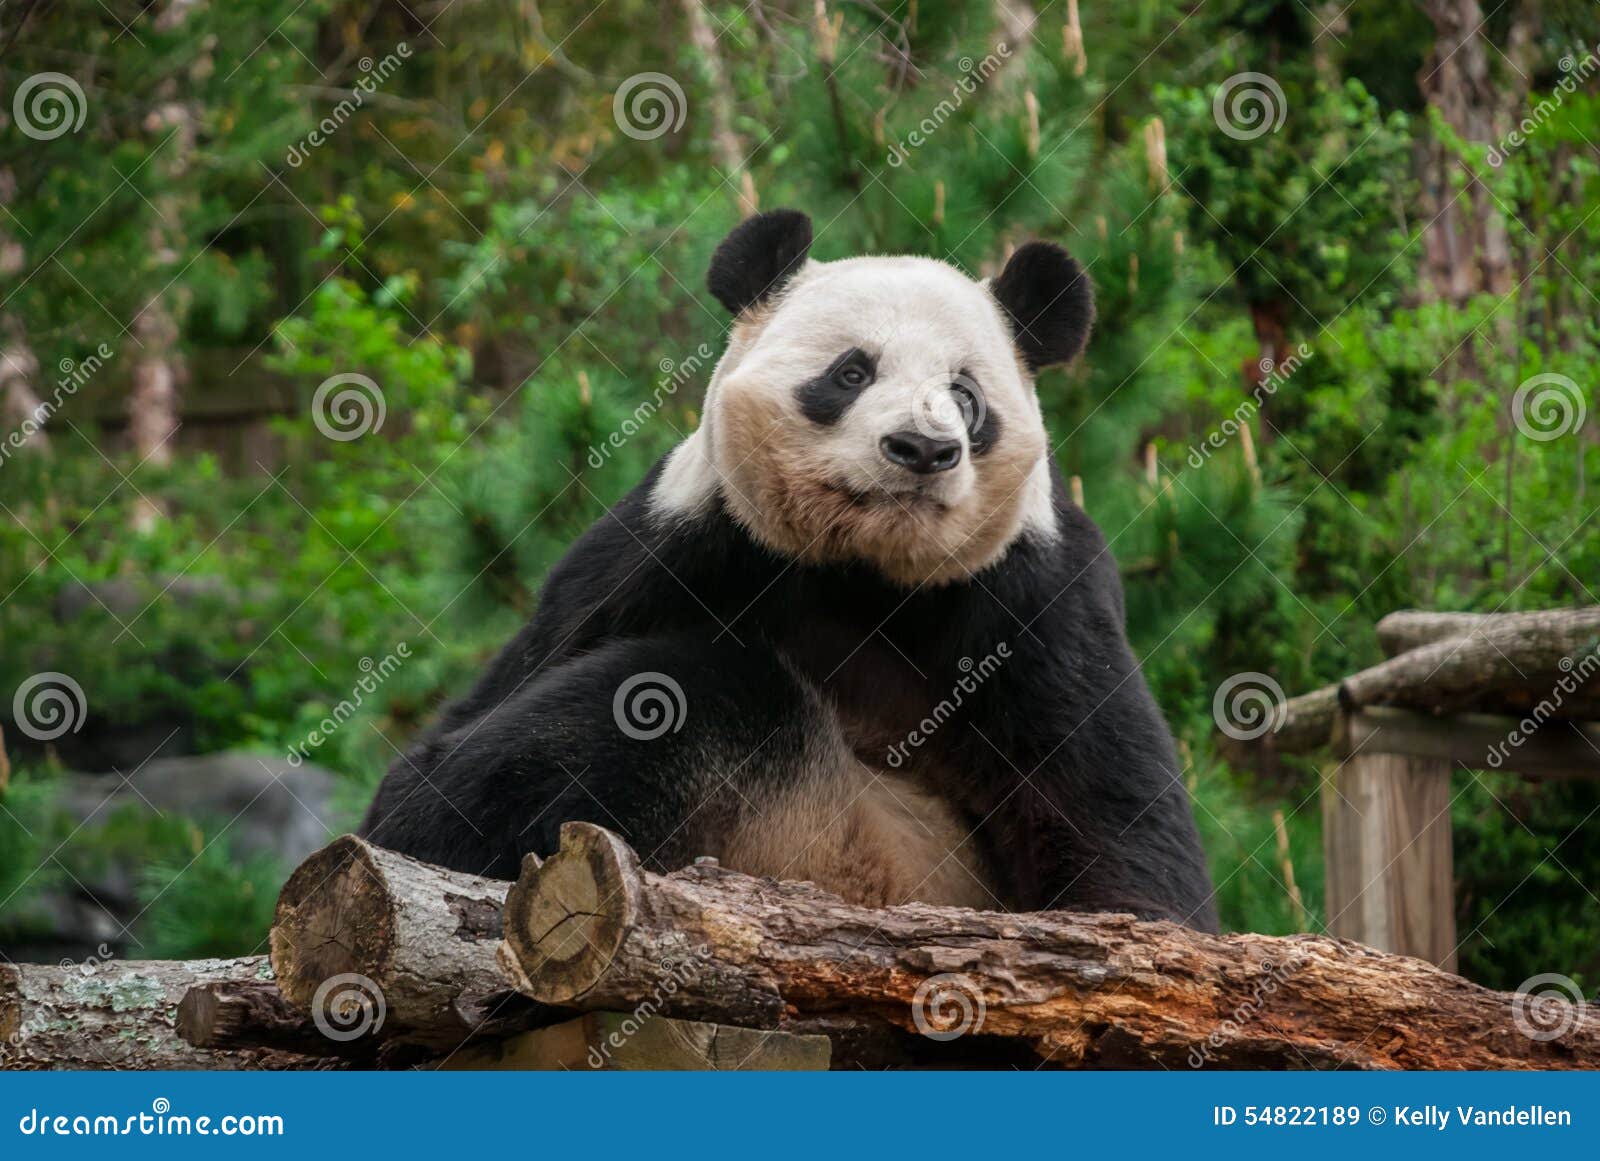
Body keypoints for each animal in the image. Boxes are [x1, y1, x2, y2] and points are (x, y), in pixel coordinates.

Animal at [362, 209, 1217, 930]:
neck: (865, 572)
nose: (922, 448)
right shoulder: (672, 545)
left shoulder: (1034, 596)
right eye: (852, 372)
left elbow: (1116, 816)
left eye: (966, 396)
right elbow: (457, 741)